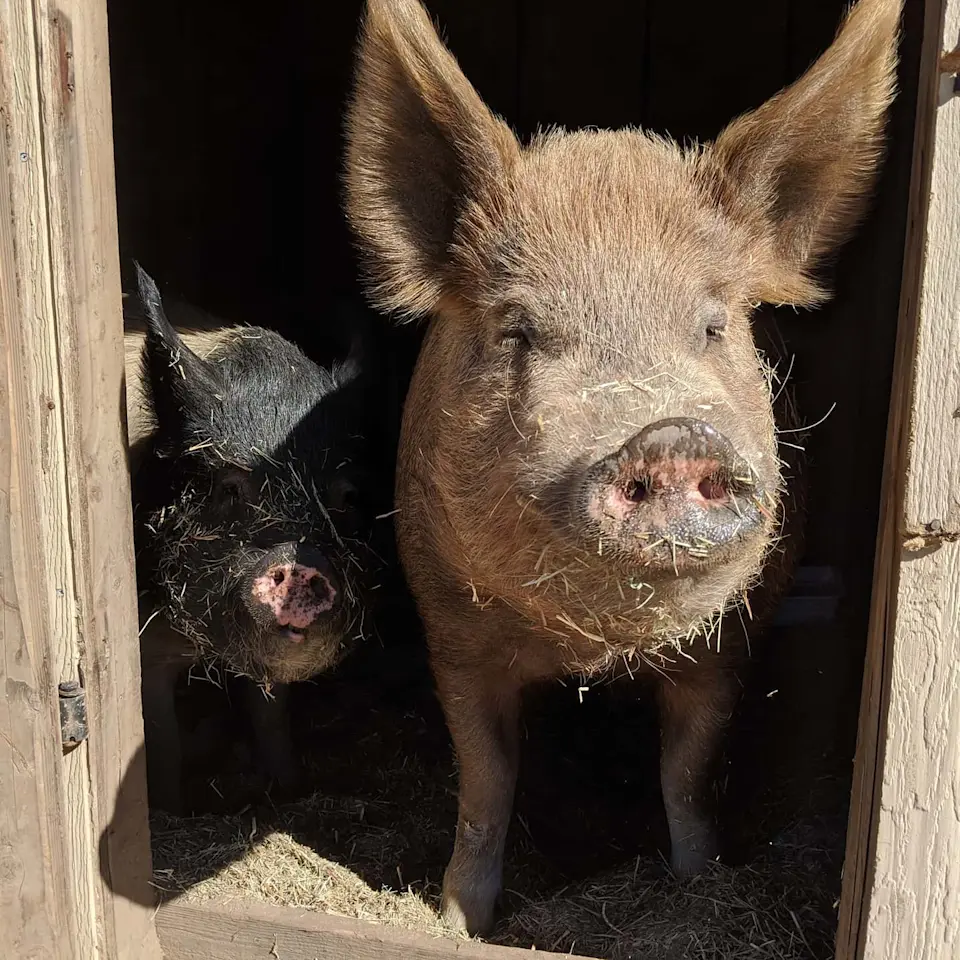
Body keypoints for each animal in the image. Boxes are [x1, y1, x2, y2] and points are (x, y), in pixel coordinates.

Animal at [125, 265, 377, 813]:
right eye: (230, 487)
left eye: (345, 497)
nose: (302, 565)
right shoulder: (145, 647)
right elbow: (159, 736)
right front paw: (171, 810)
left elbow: (271, 713)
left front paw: (289, 788)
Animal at [344, 0, 902, 935]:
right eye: (518, 330)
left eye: (715, 325)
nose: (670, 433)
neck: (593, 650)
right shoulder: (448, 625)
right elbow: (485, 779)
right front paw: (460, 922)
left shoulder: (734, 637)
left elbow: (688, 768)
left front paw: (698, 883)